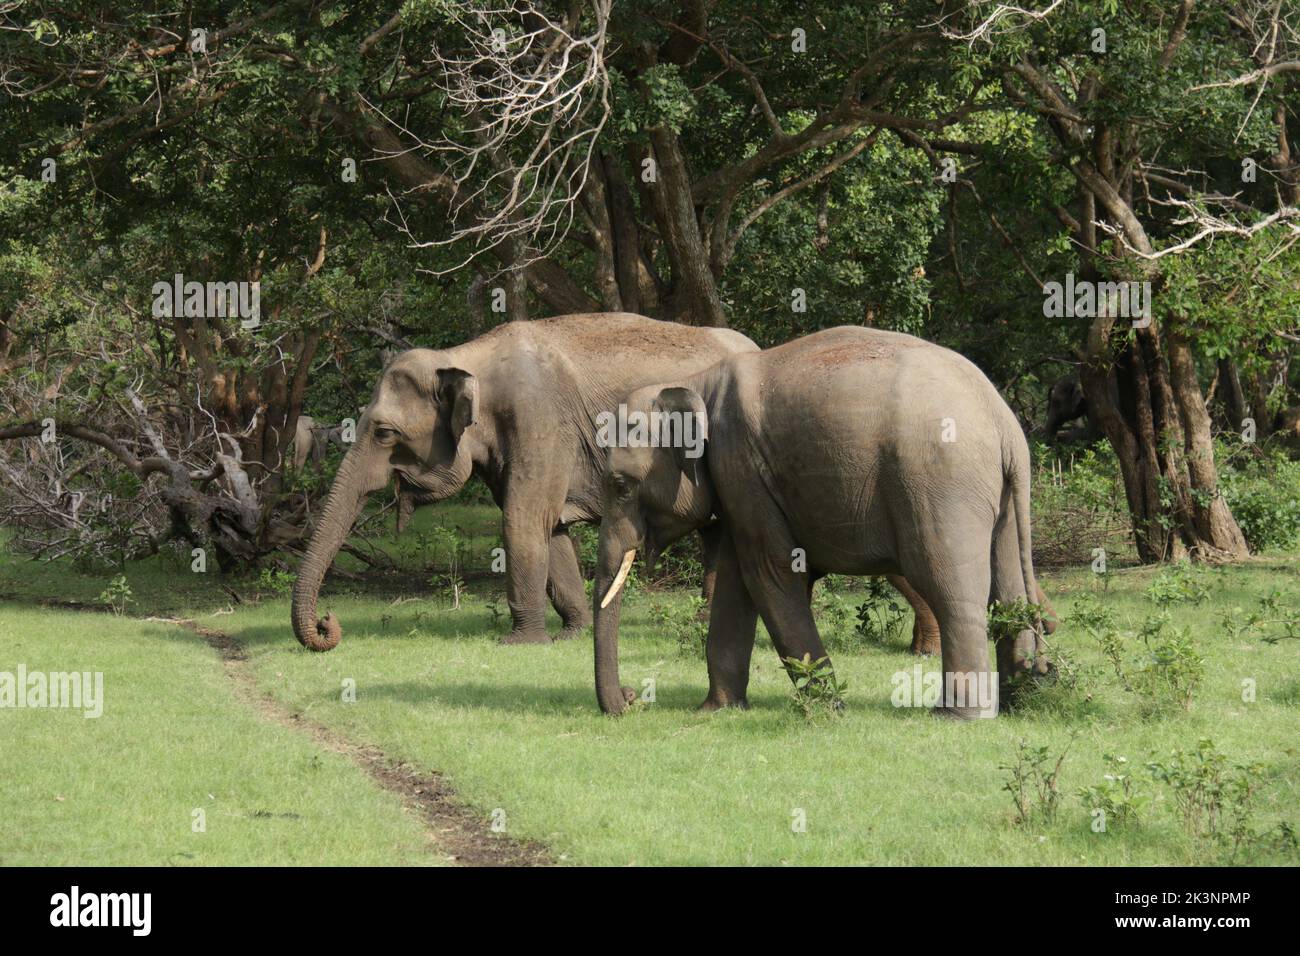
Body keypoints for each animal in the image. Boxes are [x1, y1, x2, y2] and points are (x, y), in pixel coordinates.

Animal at [291, 312, 756, 651]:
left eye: (385, 433)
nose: (328, 621)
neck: (466, 356)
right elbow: (551, 528)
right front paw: (571, 634)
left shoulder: (539, 418)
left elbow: (523, 518)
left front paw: (520, 643)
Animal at [591, 325, 1051, 718]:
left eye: (620, 485)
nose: (631, 699)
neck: (696, 382)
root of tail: (1005, 425)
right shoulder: (742, 483)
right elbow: (737, 580)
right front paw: (716, 710)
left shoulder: (741, 464)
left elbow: (770, 572)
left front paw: (830, 708)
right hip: (996, 497)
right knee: (1008, 589)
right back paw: (1019, 701)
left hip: (939, 484)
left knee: (949, 587)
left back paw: (957, 716)